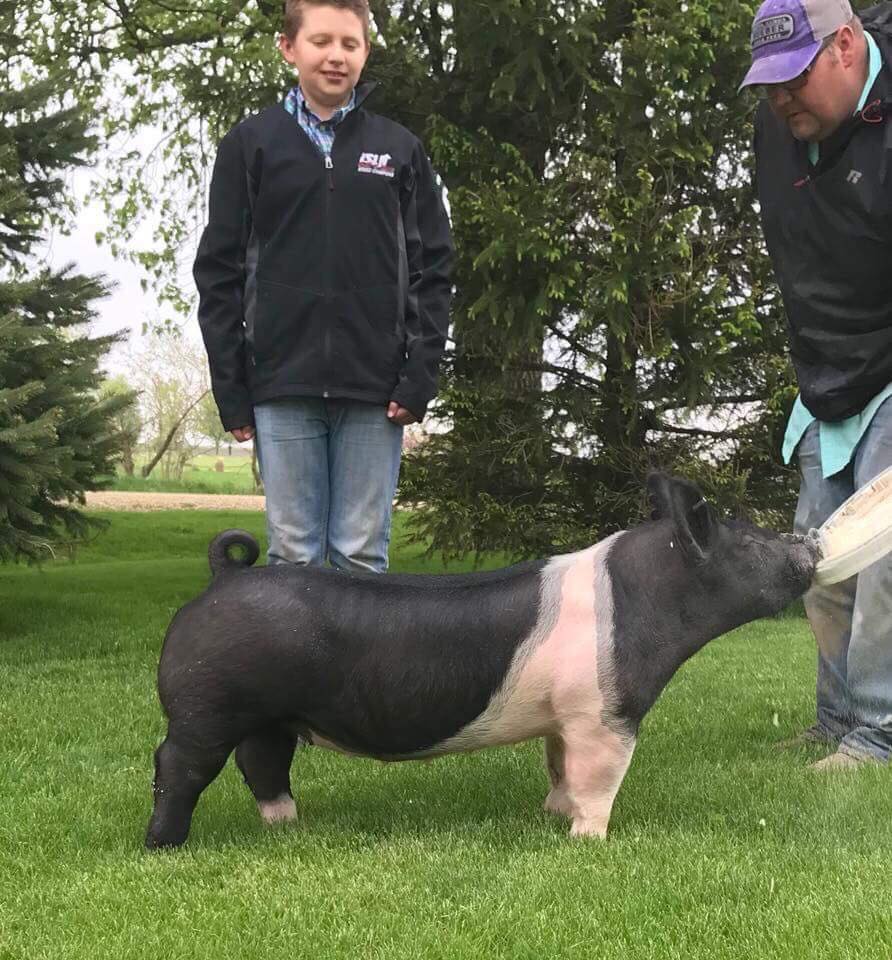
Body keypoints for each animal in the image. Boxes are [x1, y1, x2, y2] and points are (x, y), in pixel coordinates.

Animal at [145, 473, 820, 849]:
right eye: (753, 542)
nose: (810, 546)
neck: (643, 600)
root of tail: (223, 577)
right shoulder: (605, 713)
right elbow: (600, 777)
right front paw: (590, 842)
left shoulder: (564, 717)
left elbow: (559, 766)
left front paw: (552, 815)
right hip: (207, 703)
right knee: (179, 764)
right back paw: (164, 846)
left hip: (269, 713)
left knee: (261, 762)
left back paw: (289, 827)